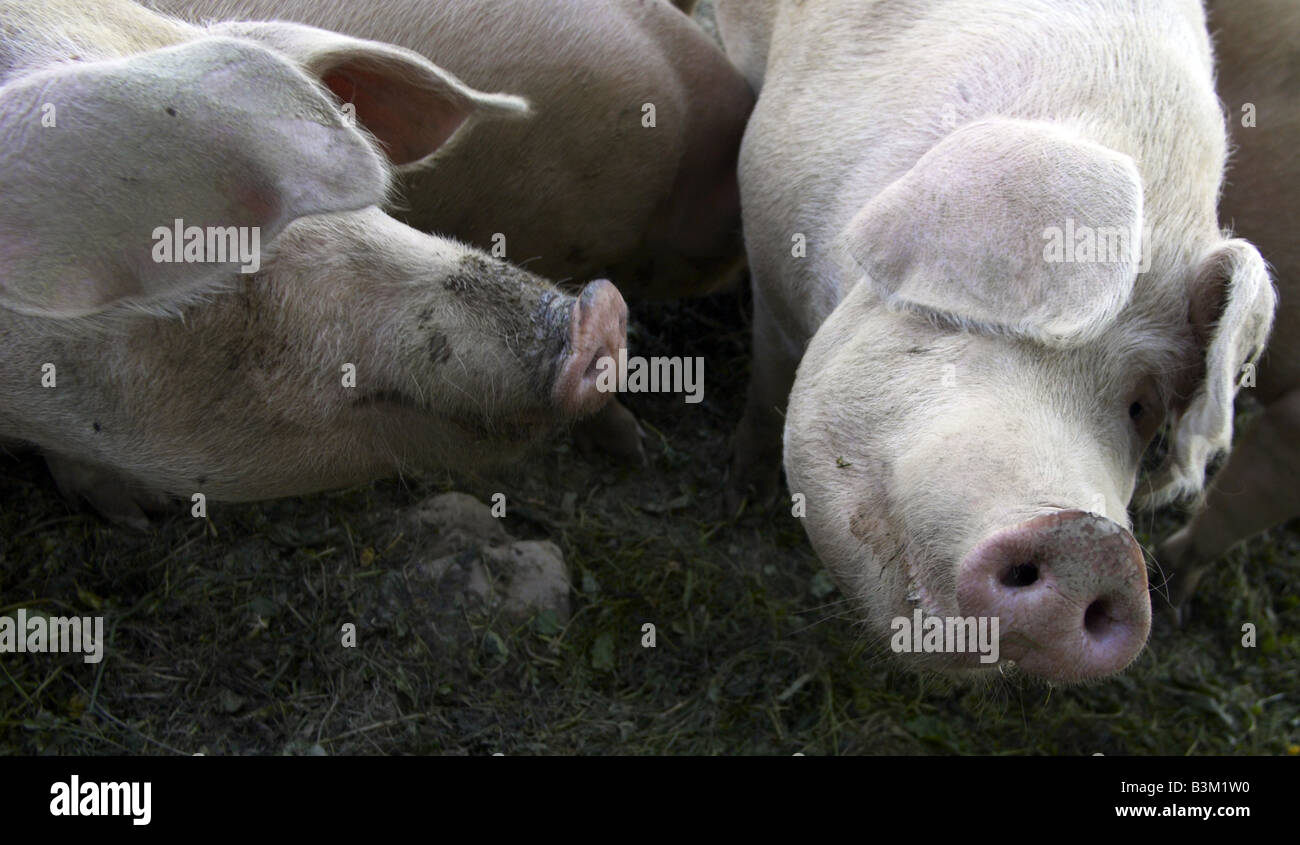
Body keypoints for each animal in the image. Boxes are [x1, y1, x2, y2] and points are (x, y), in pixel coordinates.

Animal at [715, 0, 1276, 681]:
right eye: (988, 321)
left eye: (1141, 407)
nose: (1097, 546)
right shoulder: (769, 240)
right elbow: (768, 380)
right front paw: (743, 489)